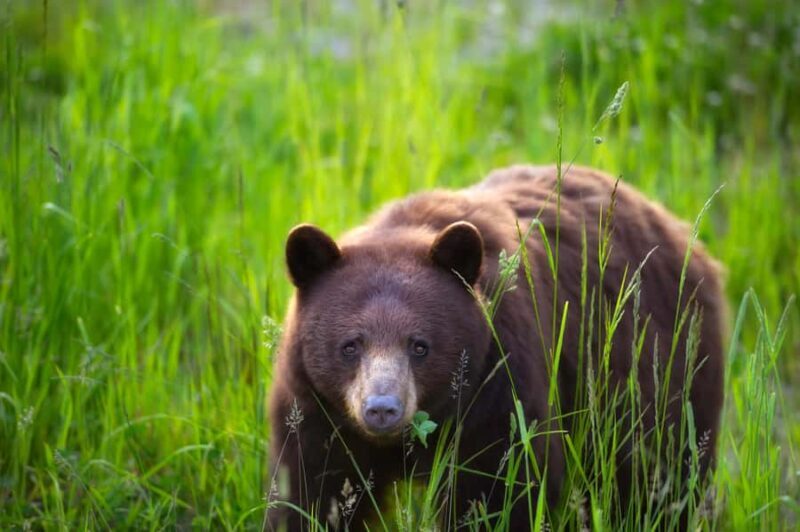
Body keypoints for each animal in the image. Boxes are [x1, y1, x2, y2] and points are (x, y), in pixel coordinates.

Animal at [267, 164, 725, 530]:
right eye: (350, 346)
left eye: (420, 346)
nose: (382, 408)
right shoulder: (316, 410)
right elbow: (312, 491)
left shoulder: (498, 386)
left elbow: (497, 487)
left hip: (662, 366)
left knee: (663, 474)